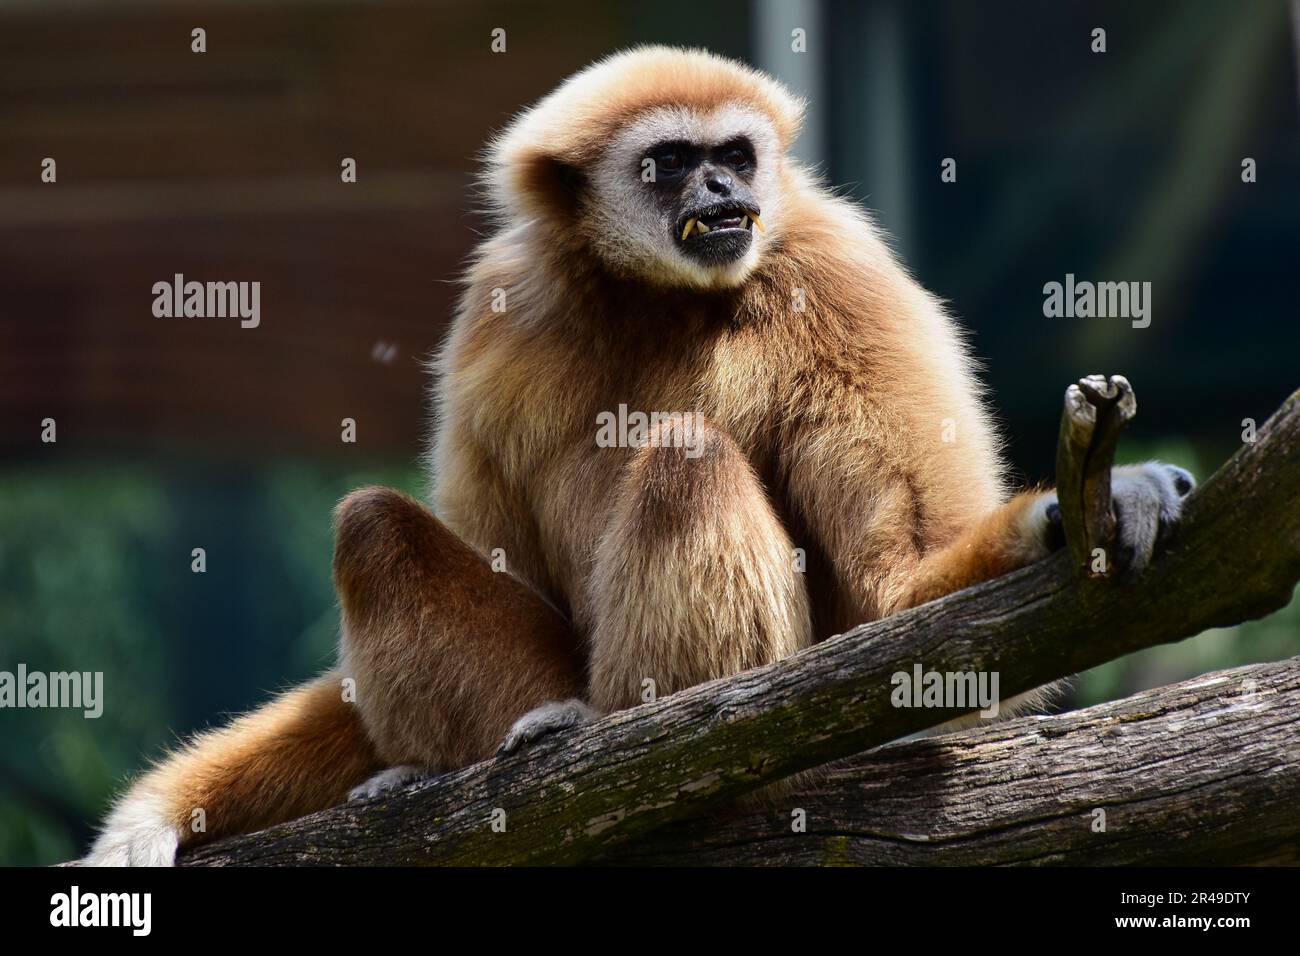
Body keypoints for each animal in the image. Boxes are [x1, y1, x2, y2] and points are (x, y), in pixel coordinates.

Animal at [86, 46, 1194, 865]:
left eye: (735, 153)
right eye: (669, 160)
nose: (721, 183)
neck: (650, 295)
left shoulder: (841, 274)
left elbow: (896, 586)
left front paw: (1072, 516)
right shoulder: (499, 309)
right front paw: (160, 811)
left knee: (685, 457)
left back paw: (621, 734)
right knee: (373, 527)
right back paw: (451, 764)